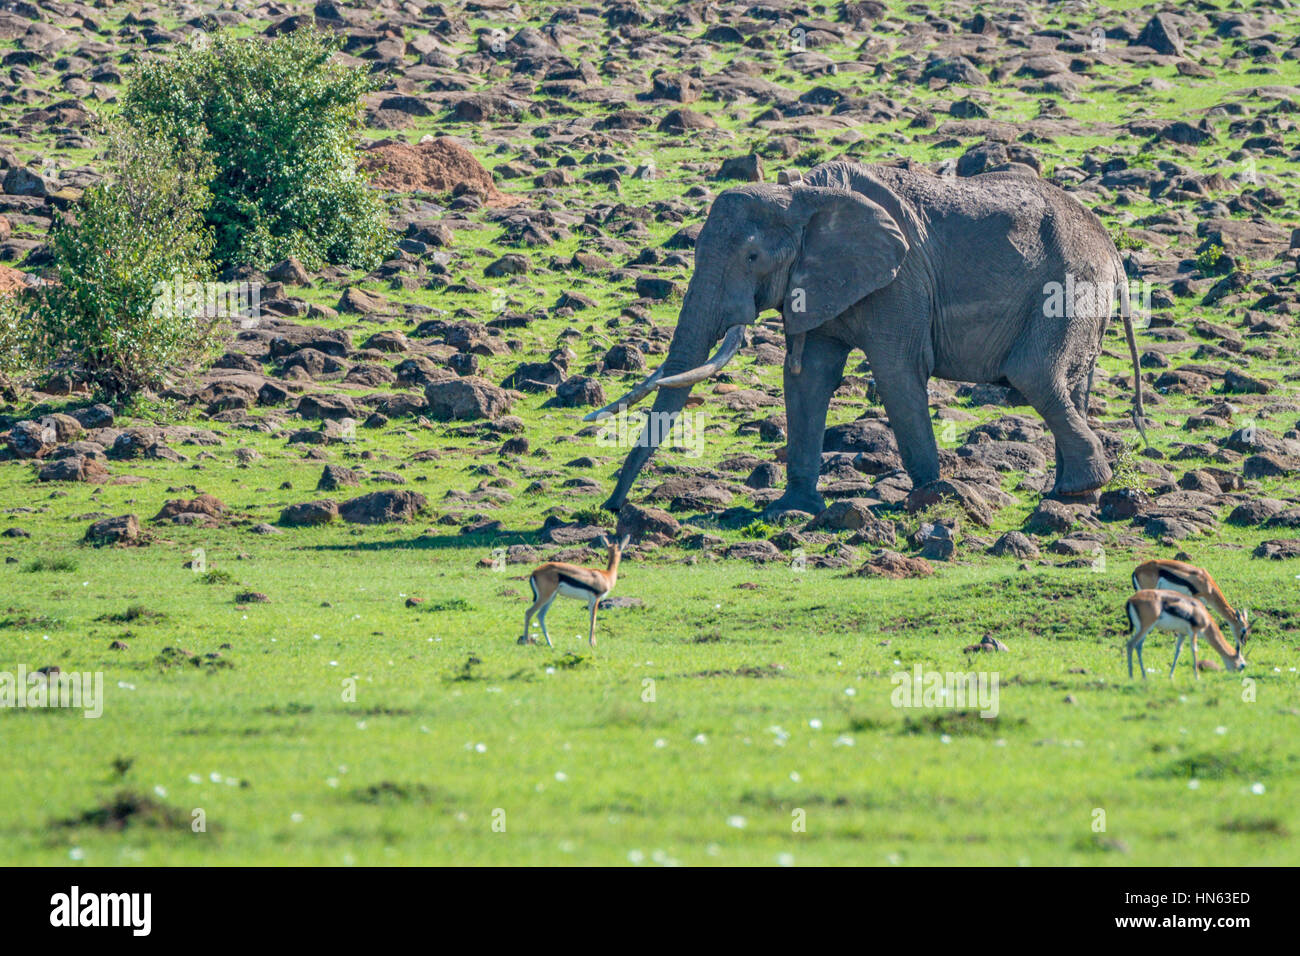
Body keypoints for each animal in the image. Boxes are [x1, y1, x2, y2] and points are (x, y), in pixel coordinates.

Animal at [590, 159, 1146, 518]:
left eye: (752, 257)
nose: (612, 509)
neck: (802, 195)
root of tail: (1113, 251)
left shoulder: (900, 281)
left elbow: (897, 372)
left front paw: (932, 498)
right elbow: (808, 377)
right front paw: (792, 510)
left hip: (1067, 290)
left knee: (1034, 378)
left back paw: (1077, 492)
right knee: (1067, 387)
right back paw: (1072, 495)